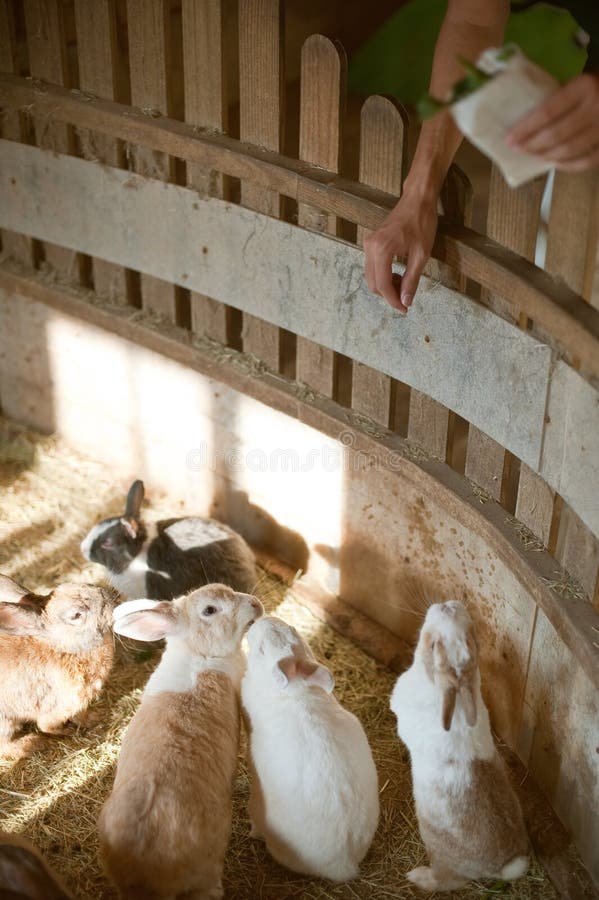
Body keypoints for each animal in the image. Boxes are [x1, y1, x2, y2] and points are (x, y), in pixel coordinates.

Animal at [0, 574, 115, 759]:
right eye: (76, 615)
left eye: (87, 585)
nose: (110, 595)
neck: (65, 649)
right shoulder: (59, 707)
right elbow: (48, 725)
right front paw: (67, 731)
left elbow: (81, 715)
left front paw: (96, 716)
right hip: (5, 722)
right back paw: (36, 743)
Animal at [390, 600, 529, 892]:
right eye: (472, 638)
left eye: (433, 646)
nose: (448, 606)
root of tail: (500, 867)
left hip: (441, 859)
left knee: (446, 881)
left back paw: (419, 876)